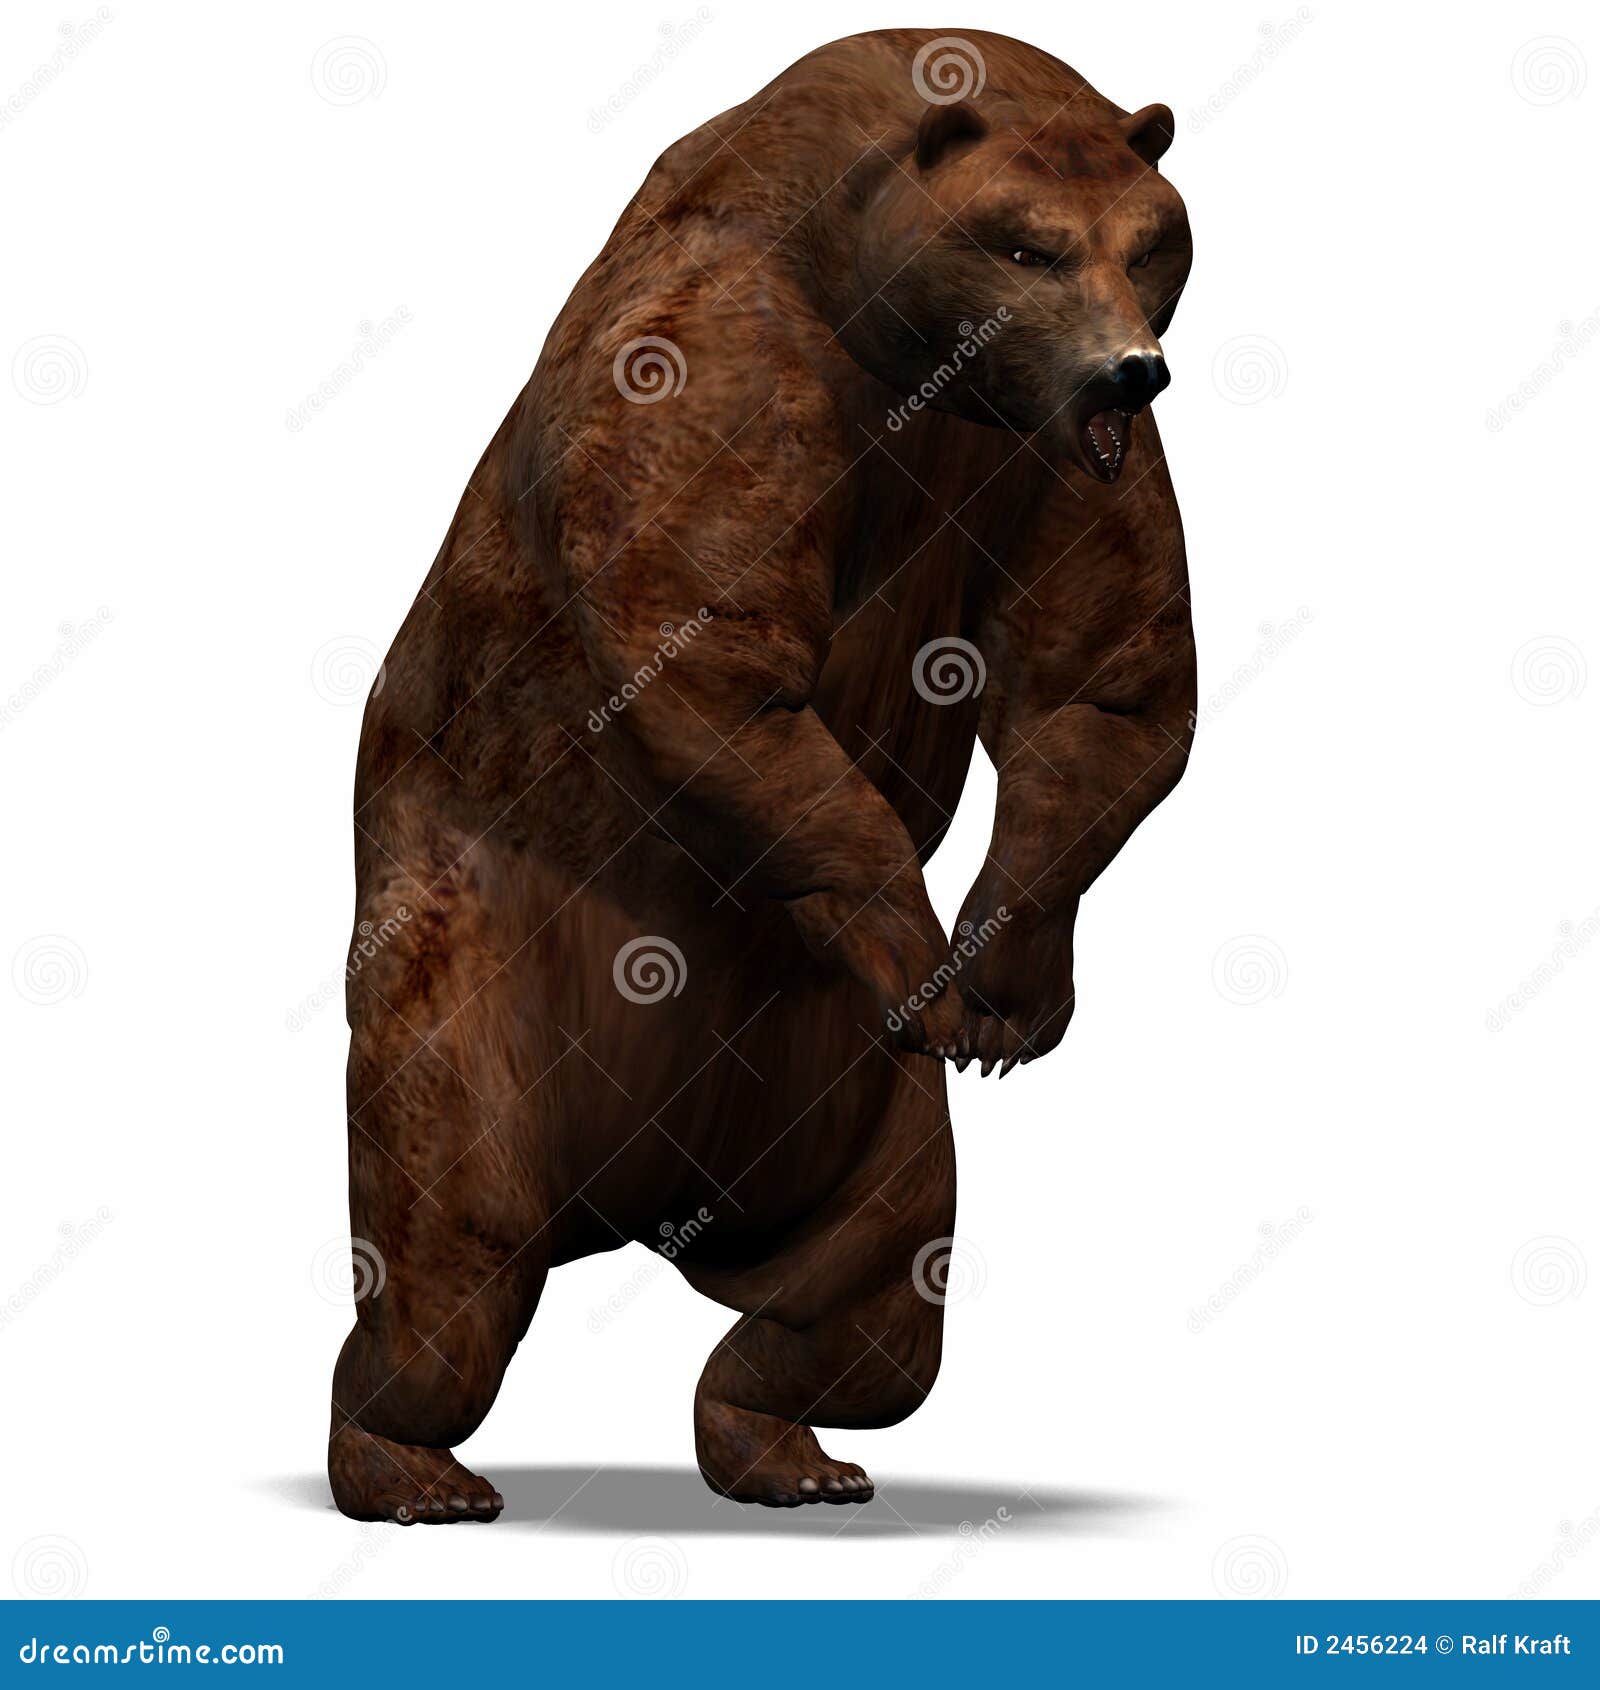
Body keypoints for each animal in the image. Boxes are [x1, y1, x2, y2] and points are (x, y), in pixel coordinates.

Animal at [329, 26, 1196, 1521]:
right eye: (1025, 244)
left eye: (1152, 243)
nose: (1127, 372)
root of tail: (638, 1200)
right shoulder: (724, 362)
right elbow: (705, 649)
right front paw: (920, 938)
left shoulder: (1044, 462)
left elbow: (1101, 681)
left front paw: (1008, 990)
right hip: (481, 976)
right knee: (448, 1252)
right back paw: (413, 1466)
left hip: (848, 1092)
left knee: (875, 1284)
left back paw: (792, 1450)